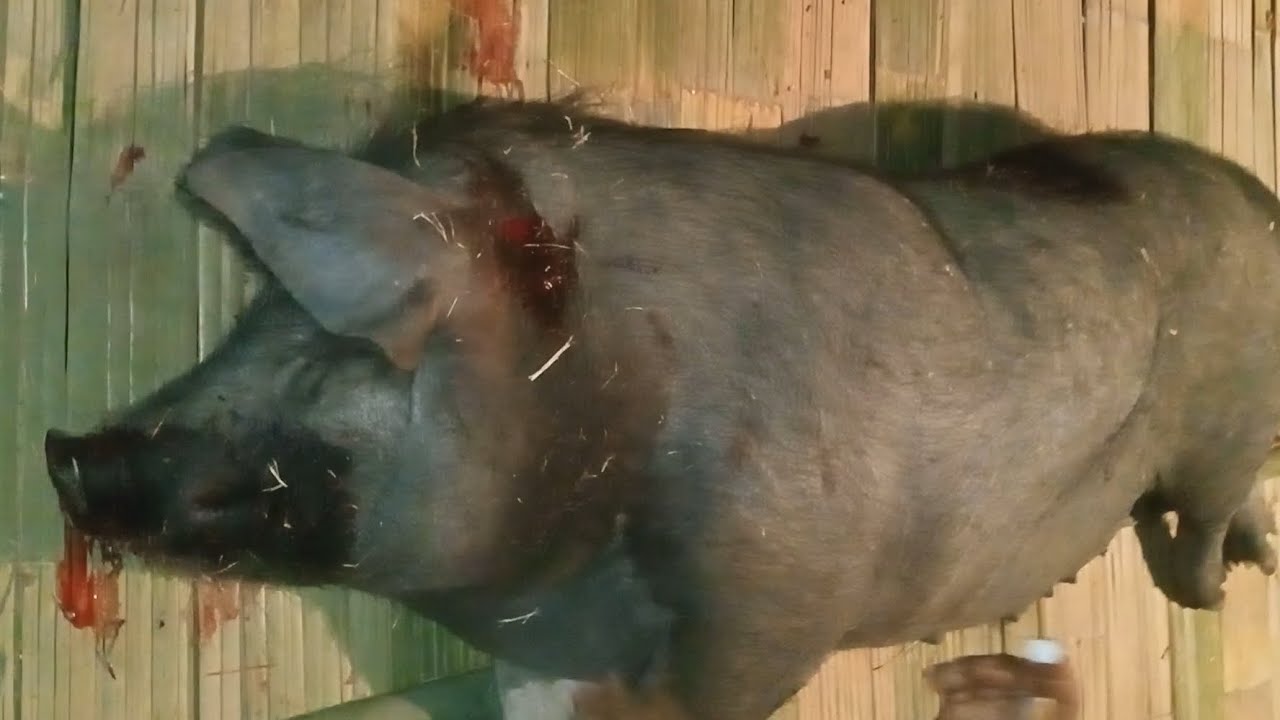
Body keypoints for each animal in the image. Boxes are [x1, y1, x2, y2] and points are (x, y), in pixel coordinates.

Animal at [44, 94, 1280, 720]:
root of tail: (1260, 198)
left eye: (328, 360)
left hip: (1225, 430)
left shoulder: (771, 600)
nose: (62, 448)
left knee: (1204, 522)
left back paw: (1215, 584)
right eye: (242, 322)